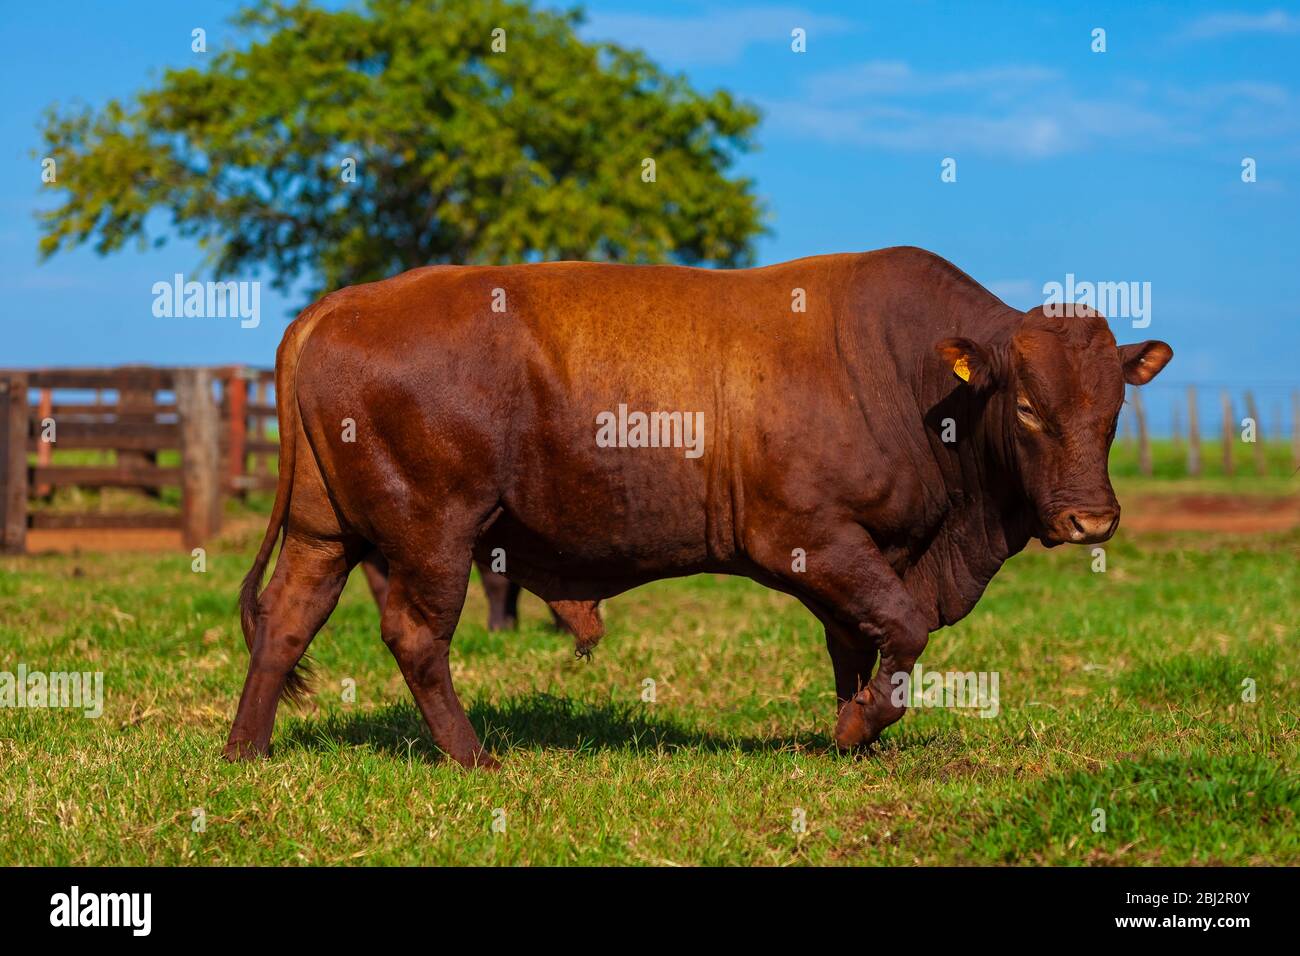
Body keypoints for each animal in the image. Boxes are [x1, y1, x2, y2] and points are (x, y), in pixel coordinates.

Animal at [226, 246, 1171, 769]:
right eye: (1028, 409)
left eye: (1112, 409)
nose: (1092, 520)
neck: (908, 379)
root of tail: (338, 305)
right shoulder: (811, 537)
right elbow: (900, 630)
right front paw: (859, 730)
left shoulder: (862, 553)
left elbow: (857, 645)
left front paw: (853, 730)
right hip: (433, 532)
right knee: (416, 638)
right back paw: (473, 758)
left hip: (324, 529)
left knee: (288, 619)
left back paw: (248, 749)